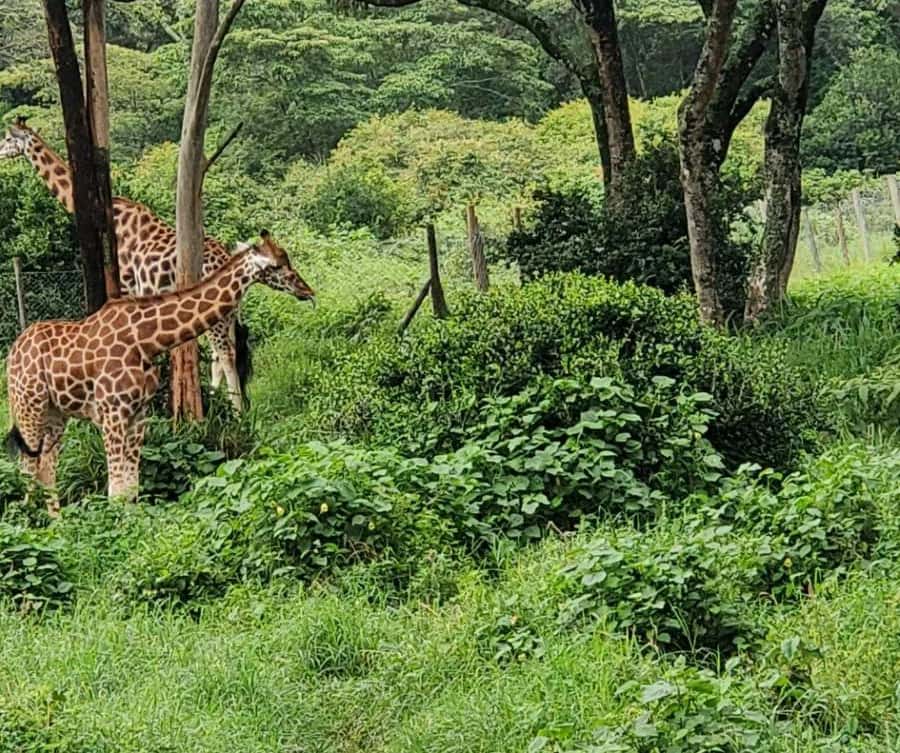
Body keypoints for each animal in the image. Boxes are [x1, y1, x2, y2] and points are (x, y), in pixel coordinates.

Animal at [0, 117, 314, 410]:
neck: (115, 220)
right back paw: (217, 401)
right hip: (228, 311)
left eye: (7, 137)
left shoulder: (130, 286)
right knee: (223, 353)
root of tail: (225, 257)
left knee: (224, 353)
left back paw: (235, 410)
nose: (1, 152)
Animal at [5, 236, 302, 504]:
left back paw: (56, 521)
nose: (306, 290)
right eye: (279, 265)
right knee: (28, 467)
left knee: (46, 467)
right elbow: (116, 490)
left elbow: (130, 487)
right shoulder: (112, 413)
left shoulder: (139, 413)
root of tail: (13, 352)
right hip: (28, 407)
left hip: (55, 414)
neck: (146, 340)